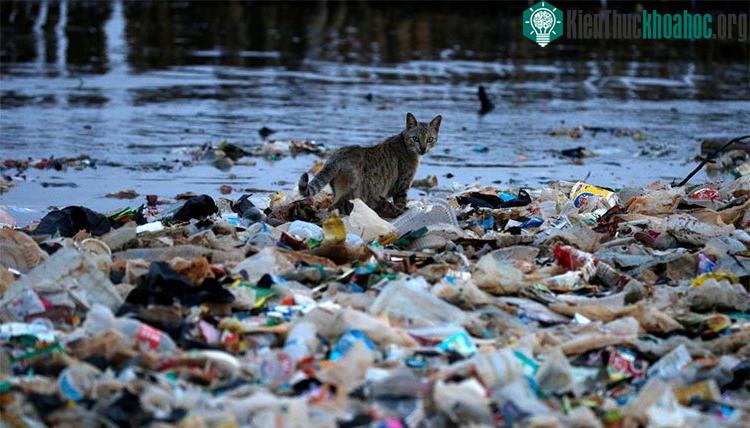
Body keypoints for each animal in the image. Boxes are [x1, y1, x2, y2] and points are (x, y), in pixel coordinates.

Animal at [298, 112, 440, 216]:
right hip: (352, 192)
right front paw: (401, 211)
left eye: (430, 139)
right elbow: (401, 203)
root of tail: (337, 156)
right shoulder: (402, 186)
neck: (405, 144)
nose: (423, 149)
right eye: (415, 138)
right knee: (335, 206)